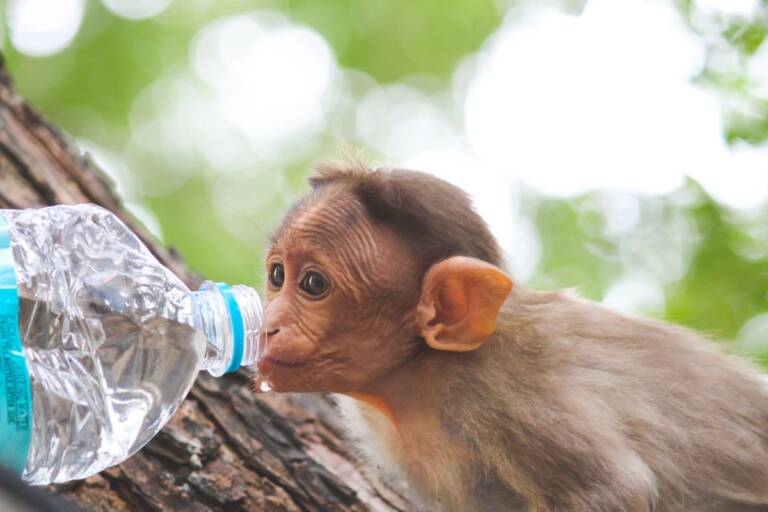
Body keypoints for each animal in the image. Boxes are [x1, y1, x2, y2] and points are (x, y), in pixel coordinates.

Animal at [255, 162, 768, 512]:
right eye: (278, 275)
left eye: (314, 284)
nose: (267, 325)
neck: (417, 375)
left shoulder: (504, 395)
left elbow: (617, 491)